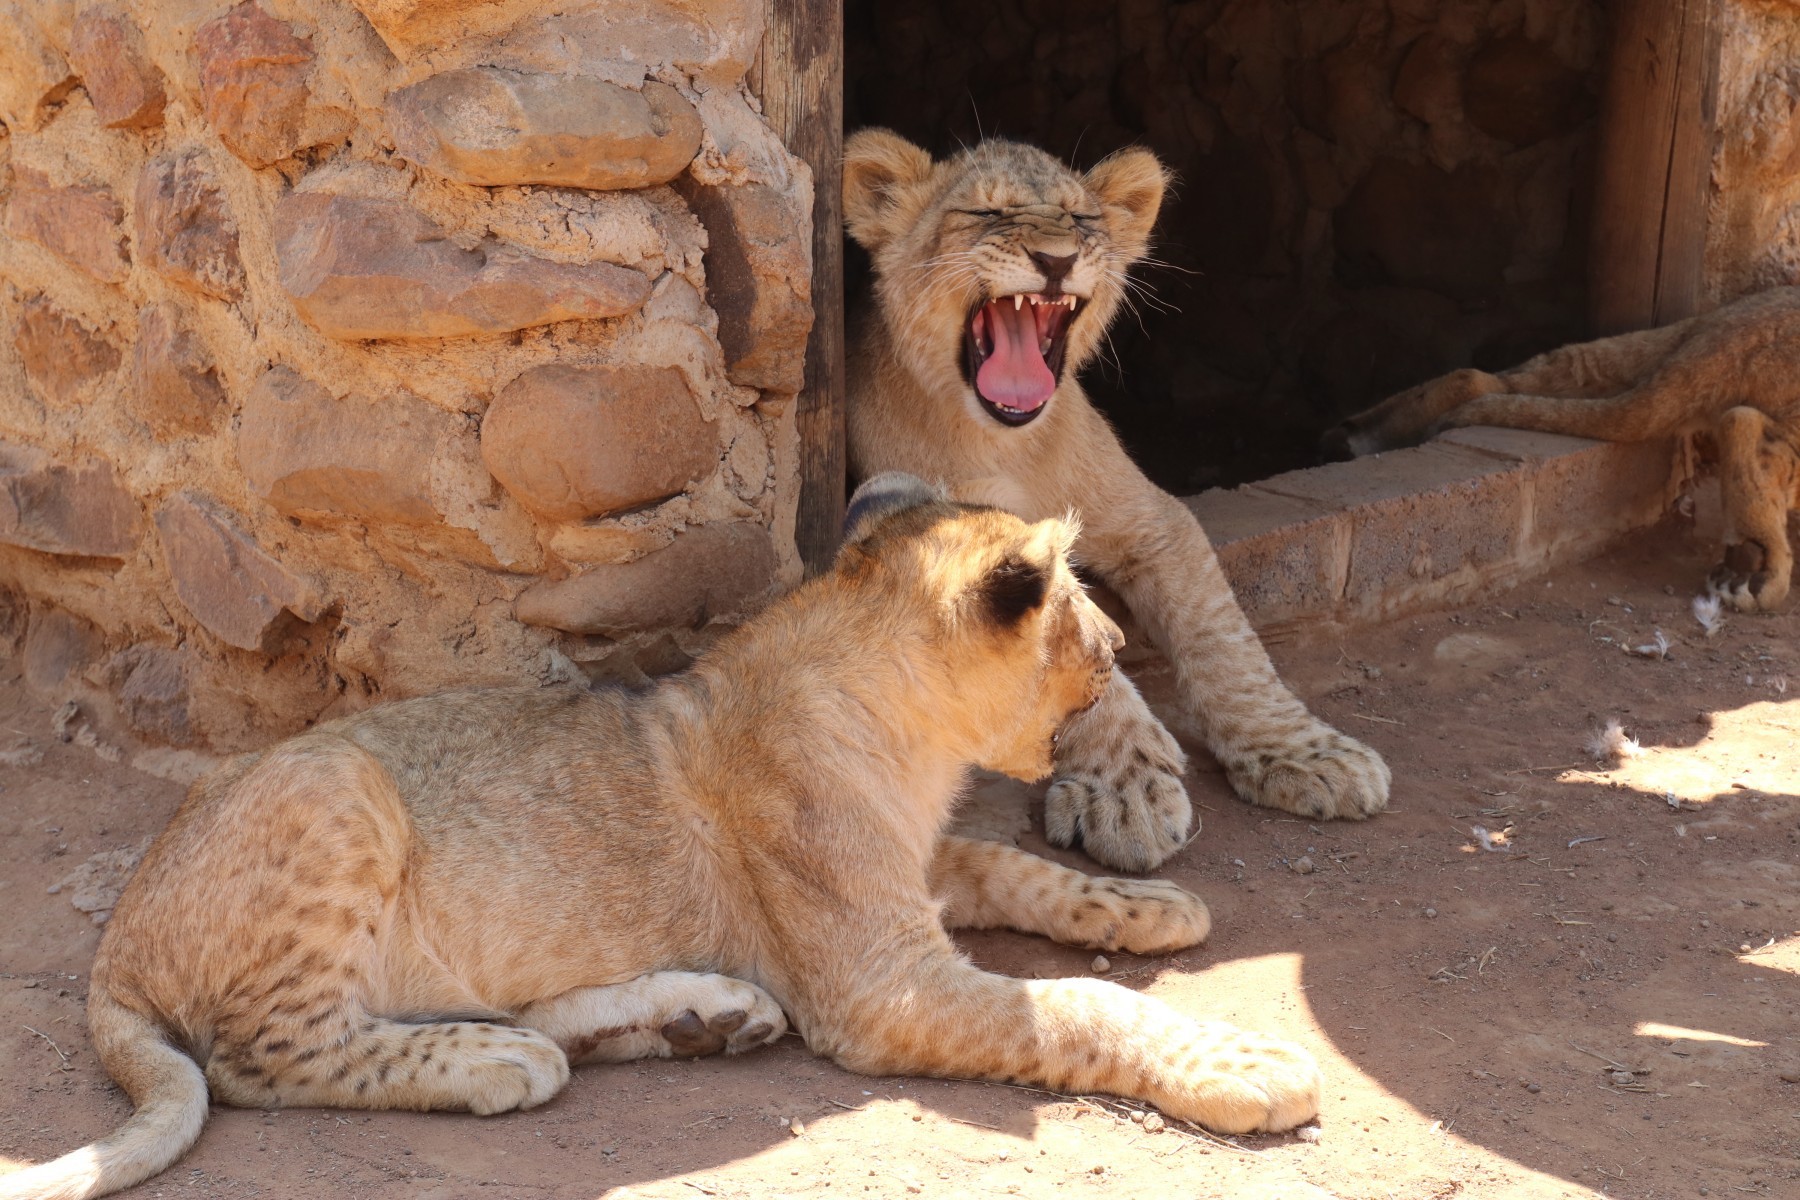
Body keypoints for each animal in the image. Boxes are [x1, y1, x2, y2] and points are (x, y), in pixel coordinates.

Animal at [0, 475, 1320, 1200]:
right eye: (1086, 620)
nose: (1117, 653)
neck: (909, 736)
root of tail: (117, 944)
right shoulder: (879, 984)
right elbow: (1078, 1010)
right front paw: (1245, 1064)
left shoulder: (914, 878)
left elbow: (1013, 867)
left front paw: (1150, 909)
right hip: (336, 787)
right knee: (264, 1057)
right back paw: (499, 1064)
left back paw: (702, 1016)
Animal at [842, 131, 1391, 872]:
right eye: (986, 212)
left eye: (1081, 220)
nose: (1056, 258)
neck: (1013, 443)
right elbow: (1074, 638)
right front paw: (1127, 791)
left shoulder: (1155, 520)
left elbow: (1225, 637)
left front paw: (1305, 755)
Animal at [1322, 286, 1800, 611]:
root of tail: (1727, 337)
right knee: (1744, 424)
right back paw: (1760, 575)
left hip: (1639, 348)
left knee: (1484, 378)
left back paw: (1353, 438)